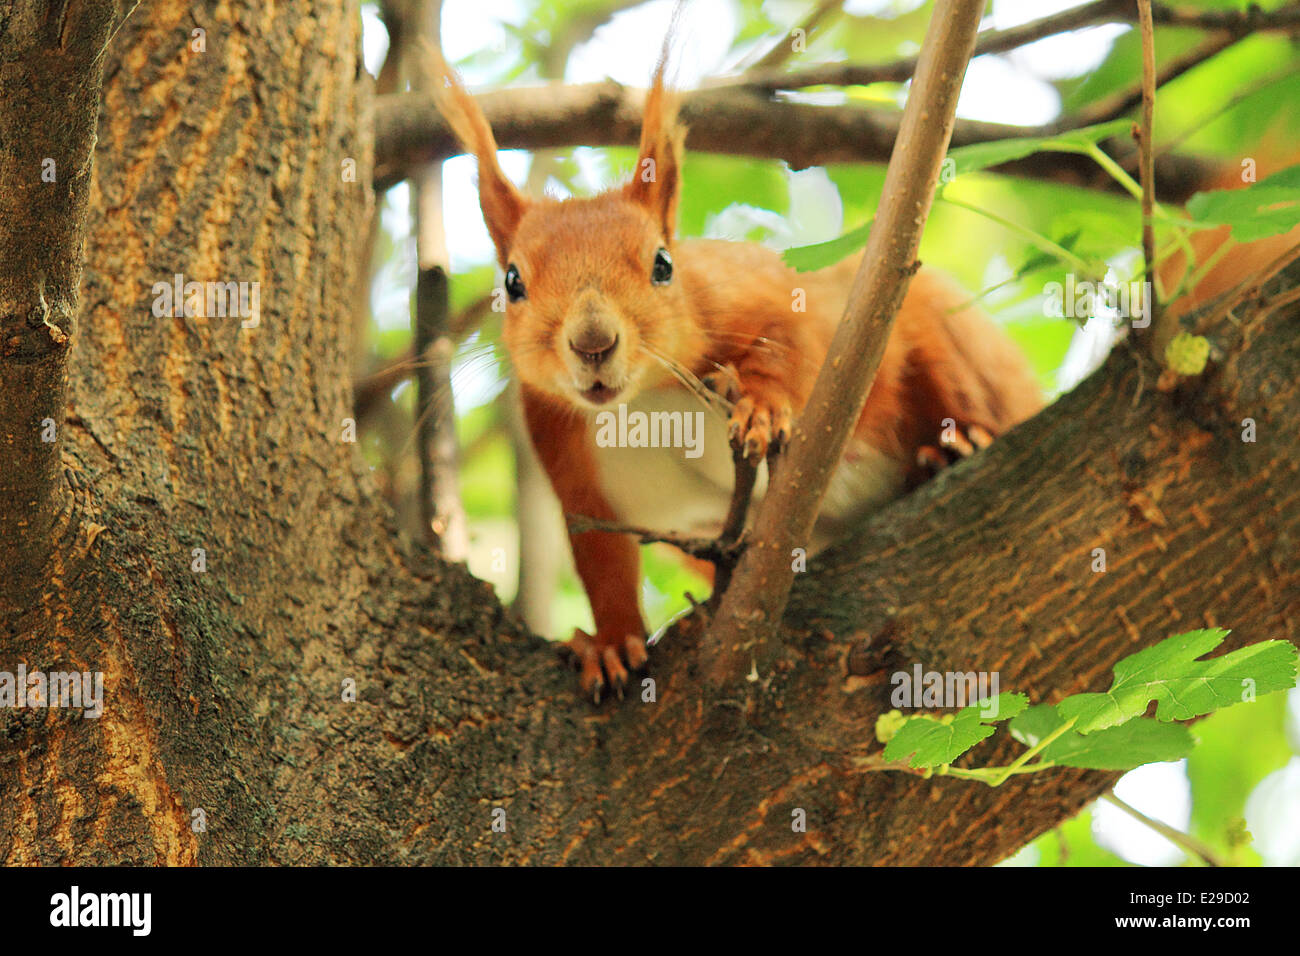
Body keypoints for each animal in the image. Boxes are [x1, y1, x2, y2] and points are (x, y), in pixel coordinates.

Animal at [430, 53, 1045, 699]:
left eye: (663, 264)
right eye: (512, 282)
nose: (592, 342)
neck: (643, 402)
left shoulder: (764, 293)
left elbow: (795, 345)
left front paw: (763, 409)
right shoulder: (570, 455)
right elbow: (601, 556)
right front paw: (611, 643)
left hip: (951, 335)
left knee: (963, 383)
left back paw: (958, 445)